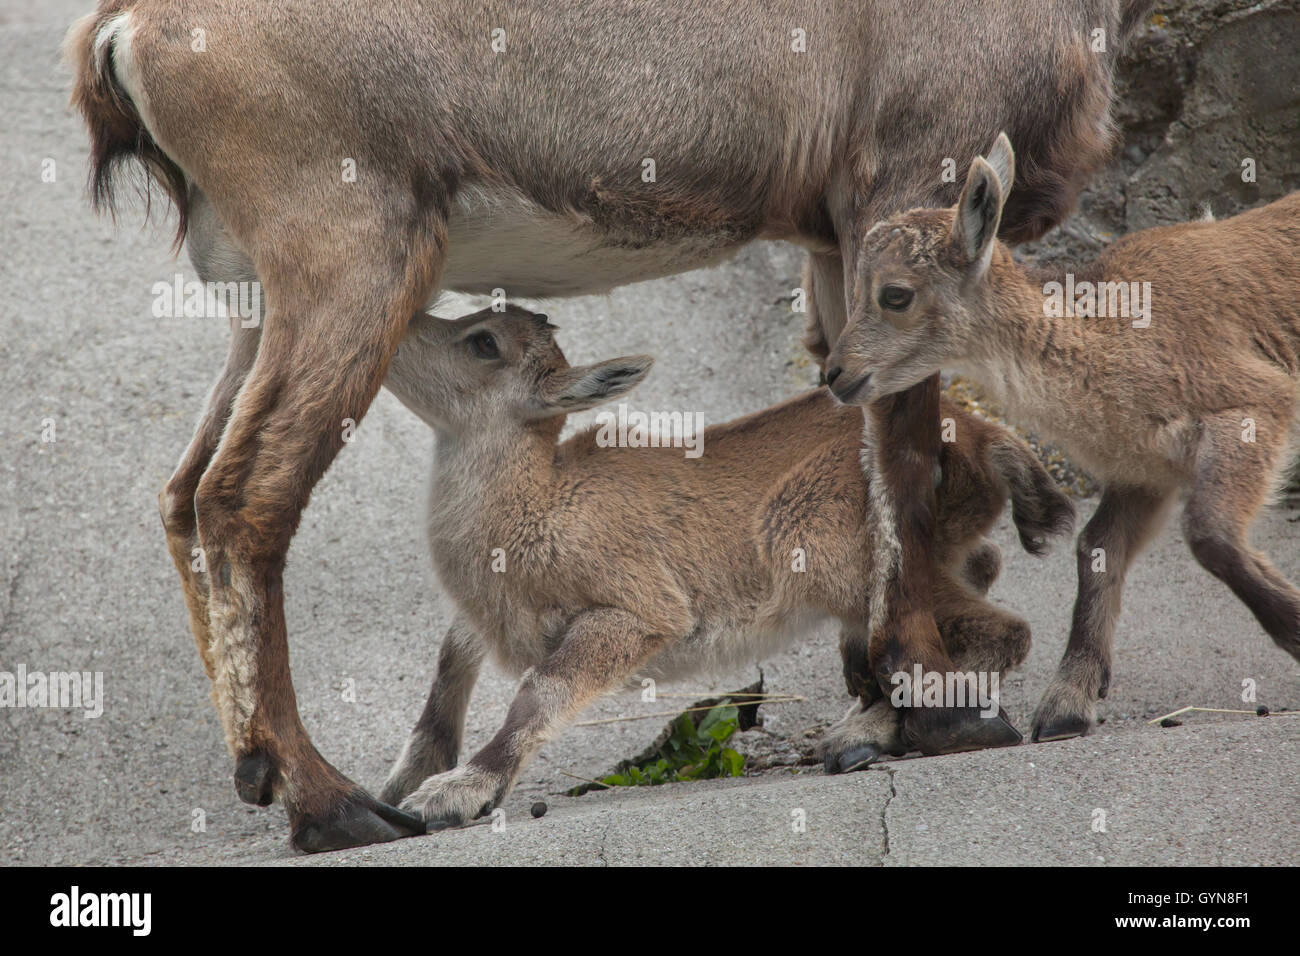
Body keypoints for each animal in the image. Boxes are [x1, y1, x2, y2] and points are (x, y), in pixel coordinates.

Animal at [378, 305, 1074, 826]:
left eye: (483, 342)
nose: (399, 326)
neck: (538, 501)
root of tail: (982, 436)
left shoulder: (639, 608)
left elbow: (539, 691)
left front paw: (453, 794)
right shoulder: (485, 615)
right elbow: (448, 667)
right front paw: (392, 794)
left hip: (820, 542)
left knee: (1006, 630)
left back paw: (864, 735)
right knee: (981, 566)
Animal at [826, 133, 1300, 741]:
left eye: (895, 294)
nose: (836, 373)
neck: (1116, 336)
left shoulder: (1255, 403)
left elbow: (1210, 533)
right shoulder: (1145, 471)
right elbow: (1097, 547)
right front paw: (1068, 702)